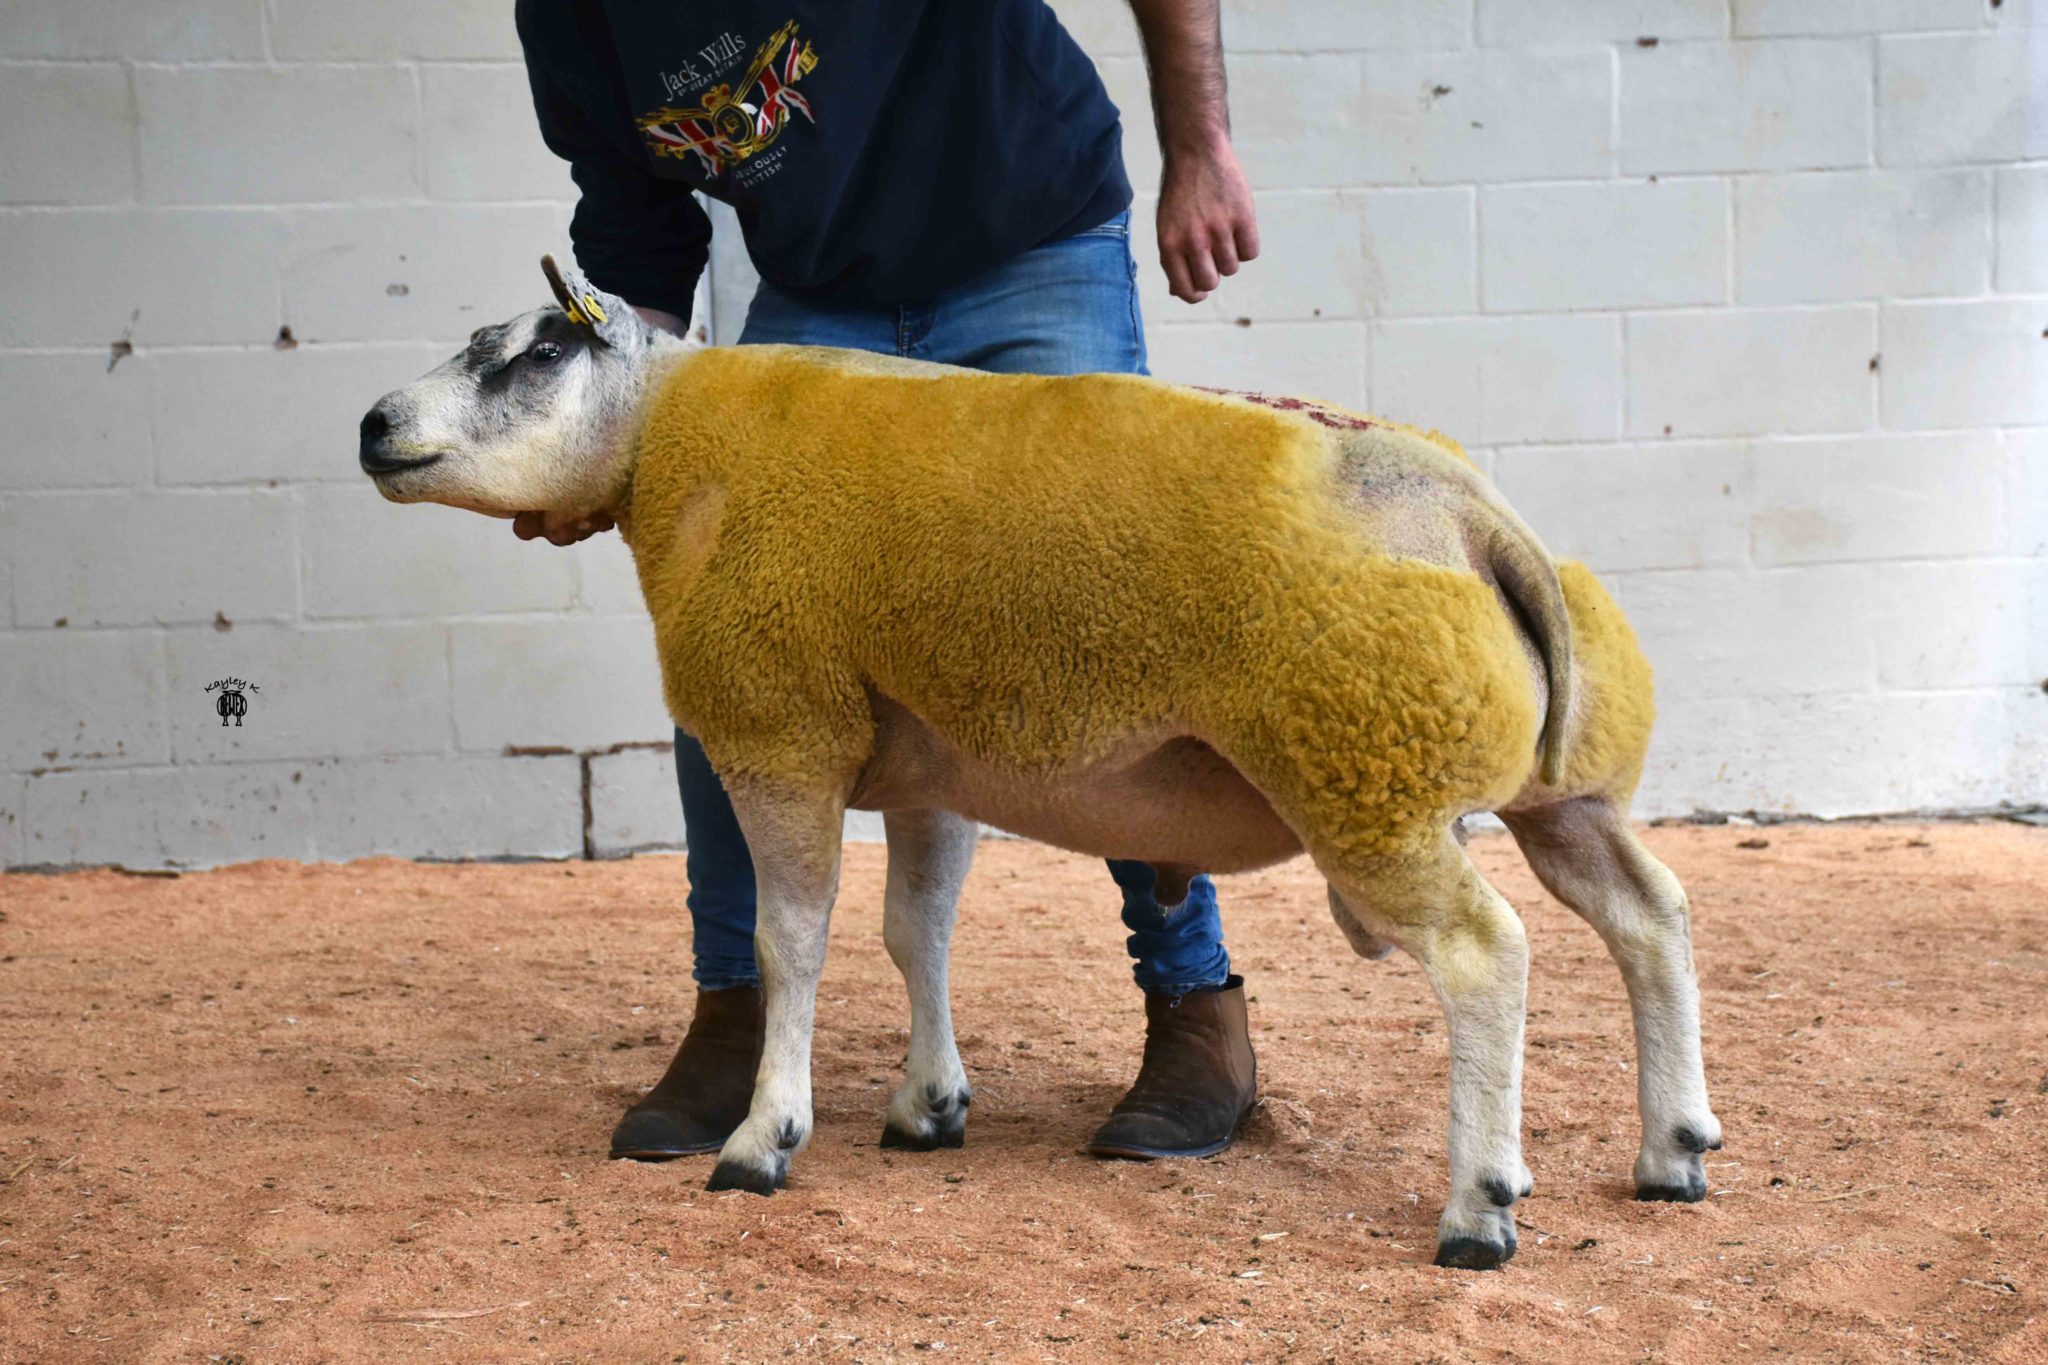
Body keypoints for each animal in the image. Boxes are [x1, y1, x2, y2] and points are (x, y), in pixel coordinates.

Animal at [359, 256, 1721, 1270]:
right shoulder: (930, 766)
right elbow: (915, 931)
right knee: (1648, 914)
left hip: (1363, 774)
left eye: (535, 355)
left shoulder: (780, 731)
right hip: (1556, 786)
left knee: (1487, 955)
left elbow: (791, 939)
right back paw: (1671, 1150)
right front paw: (927, 1107)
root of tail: (1468, 511)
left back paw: (1478, 1206)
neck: (658, 443)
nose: (373, 425)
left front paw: (762, 1137)